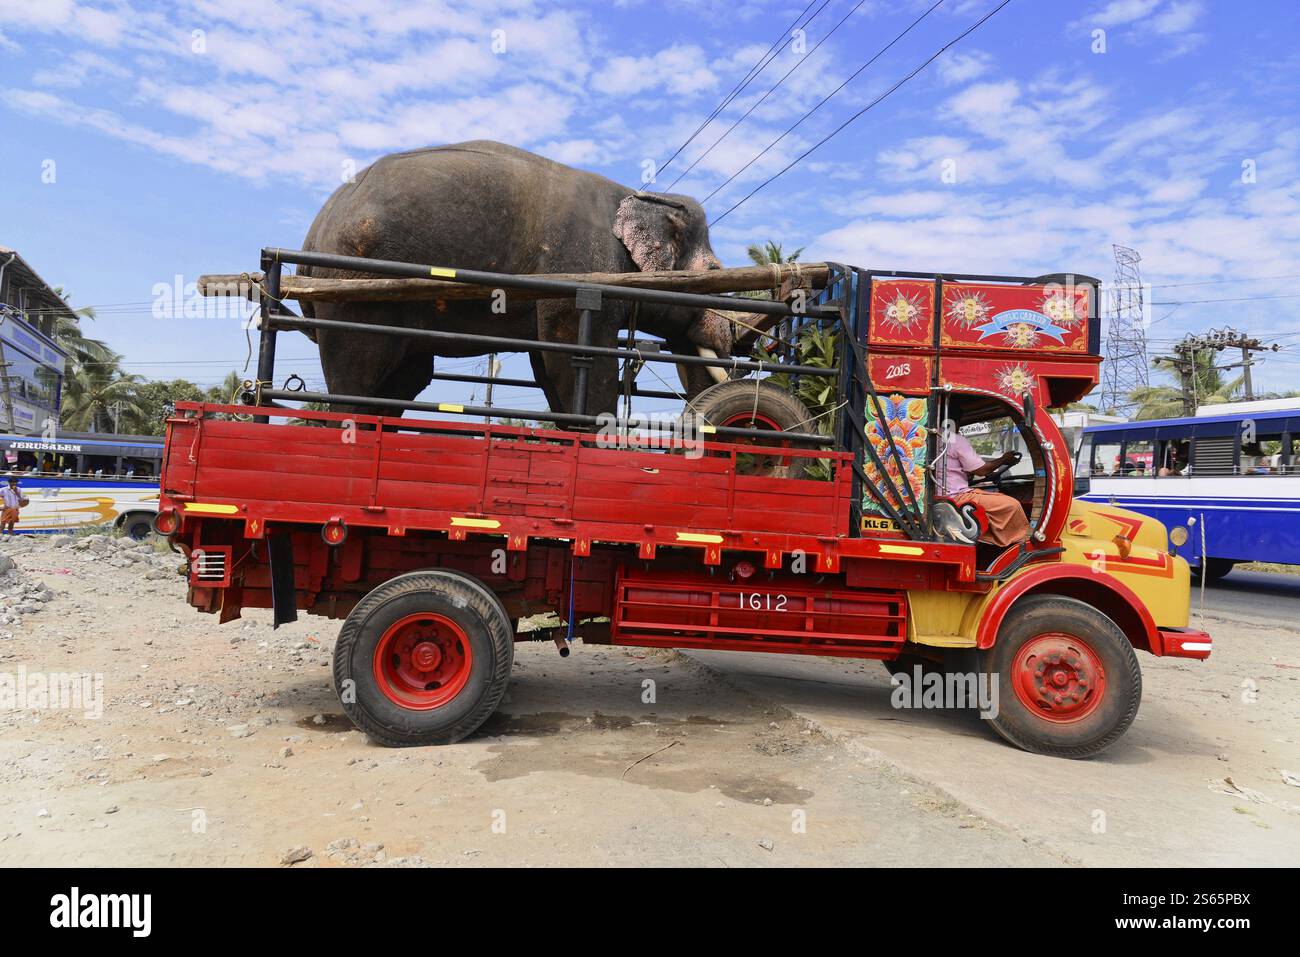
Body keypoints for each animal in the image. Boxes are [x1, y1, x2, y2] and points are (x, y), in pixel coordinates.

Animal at [297, 140, 760, 419]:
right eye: (716, 273)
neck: (639, 193)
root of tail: (315, 226)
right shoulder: (582, 267)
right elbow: (573, 360)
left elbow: (550, 365)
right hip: (352, 286)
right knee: (359, 377)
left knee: (401, 381)